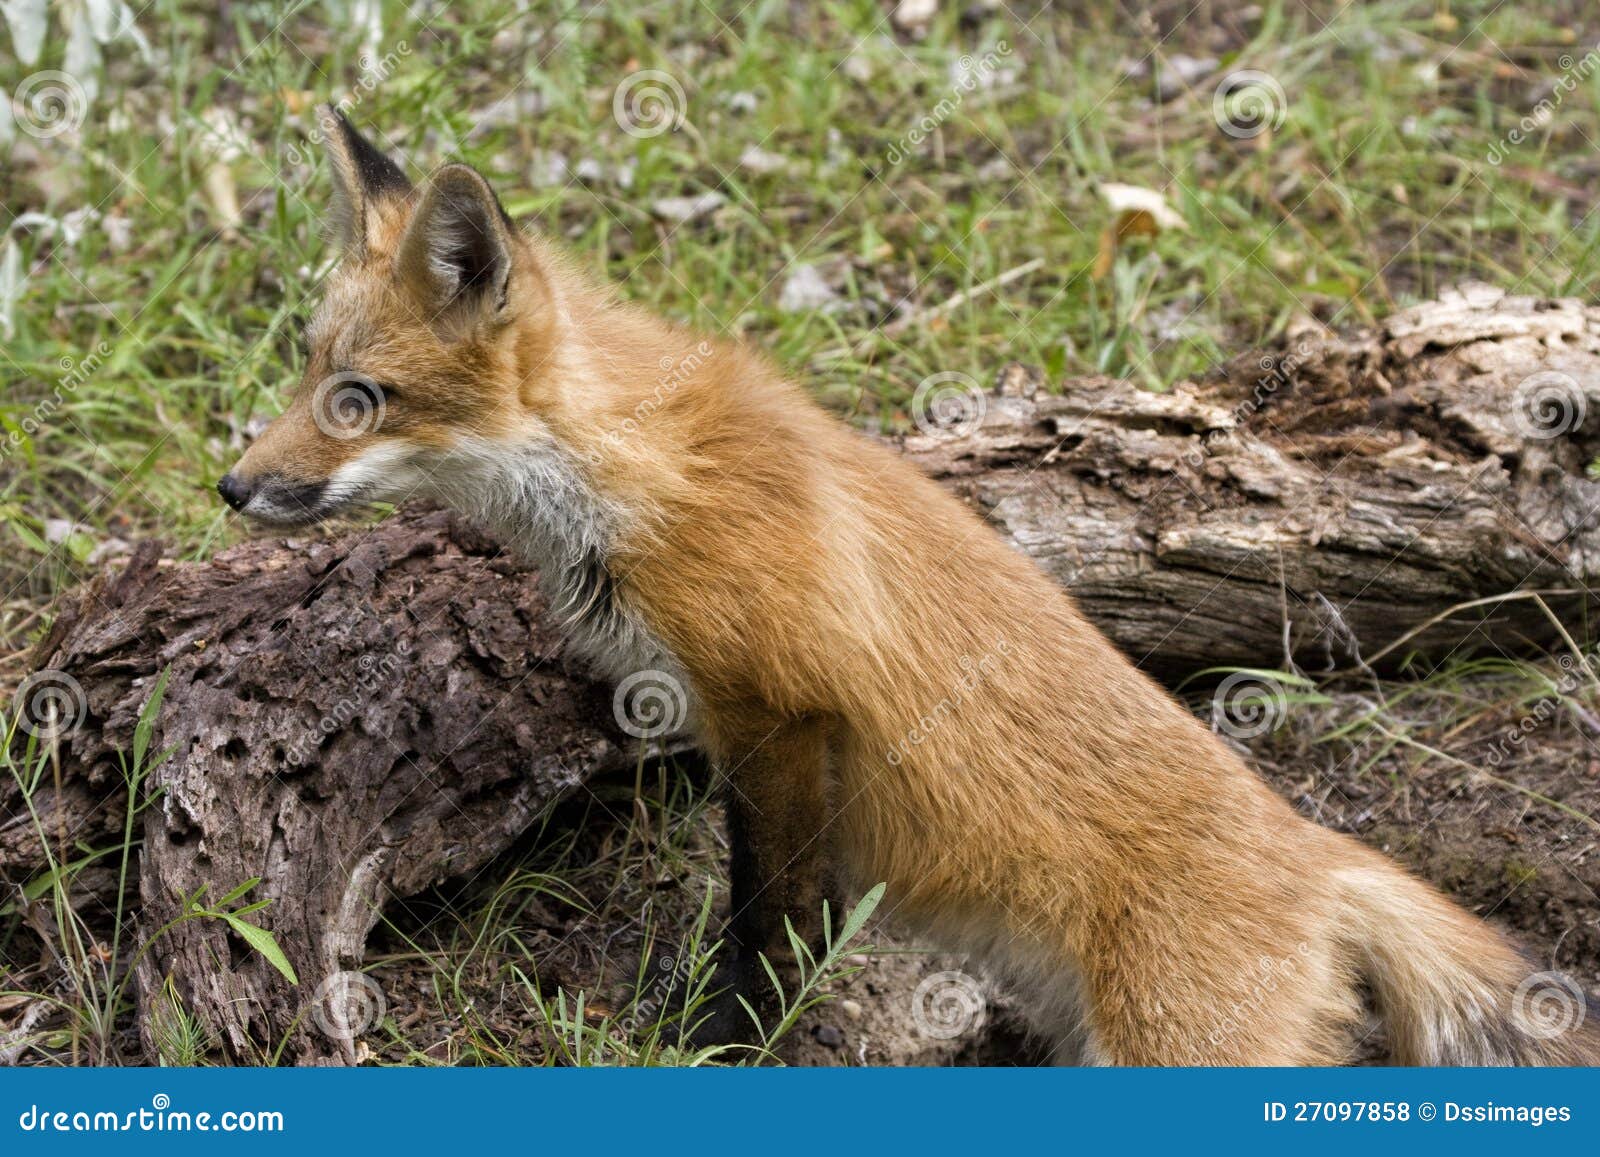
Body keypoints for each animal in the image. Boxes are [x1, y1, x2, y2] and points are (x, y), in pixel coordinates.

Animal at [219, 107, 1599, 1065]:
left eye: (360, 400)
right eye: (308, 375)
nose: (232, 487)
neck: (635, 471)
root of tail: (1320, 852)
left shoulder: (780, 714)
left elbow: (775, 918)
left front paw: (732, 1041)